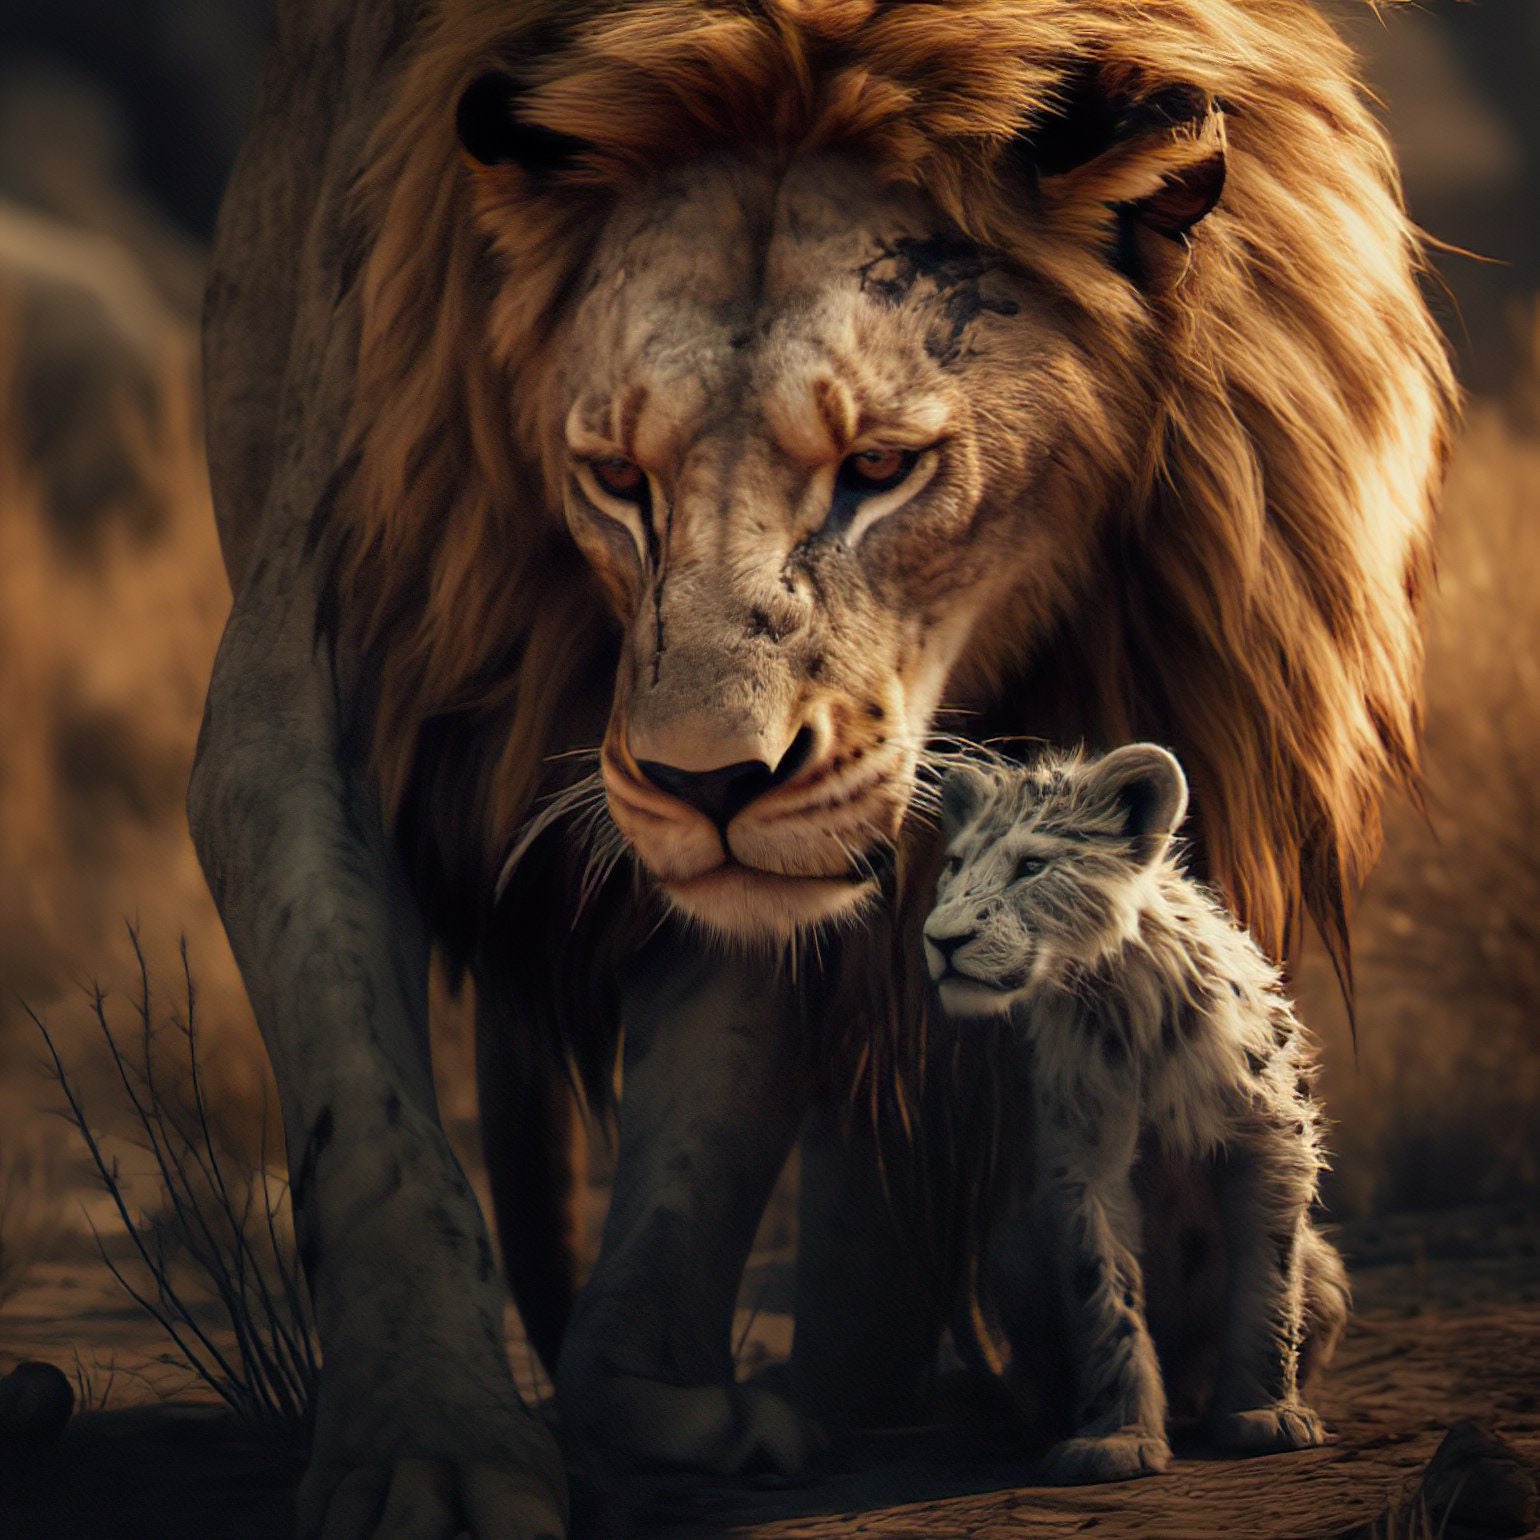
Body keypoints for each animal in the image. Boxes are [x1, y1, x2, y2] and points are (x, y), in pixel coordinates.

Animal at [192, 0, 1453, 1535]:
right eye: (615, 476)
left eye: (882, 467)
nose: (705, 785)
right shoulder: (329, 649)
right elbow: (371, 1127)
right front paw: (431, 1449)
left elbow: (709, 1140)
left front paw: (667, 1402)